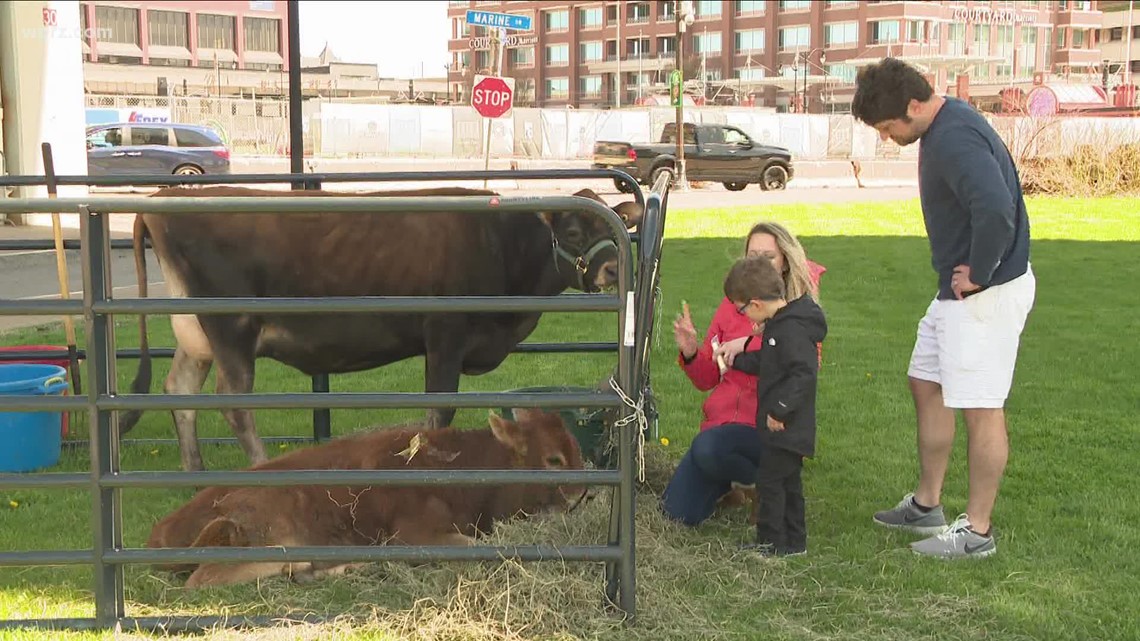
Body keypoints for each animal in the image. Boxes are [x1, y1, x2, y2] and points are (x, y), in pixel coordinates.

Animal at [120, 185, 643, 472]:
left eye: (612, 228)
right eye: (573, 231)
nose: (613, 269)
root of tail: (161, 200)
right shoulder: (446, 335)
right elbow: (439, 412)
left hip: (196, 334)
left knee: (180, 390)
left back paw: (196, 471)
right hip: (231, 327)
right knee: (233, 402)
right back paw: (261, 466)